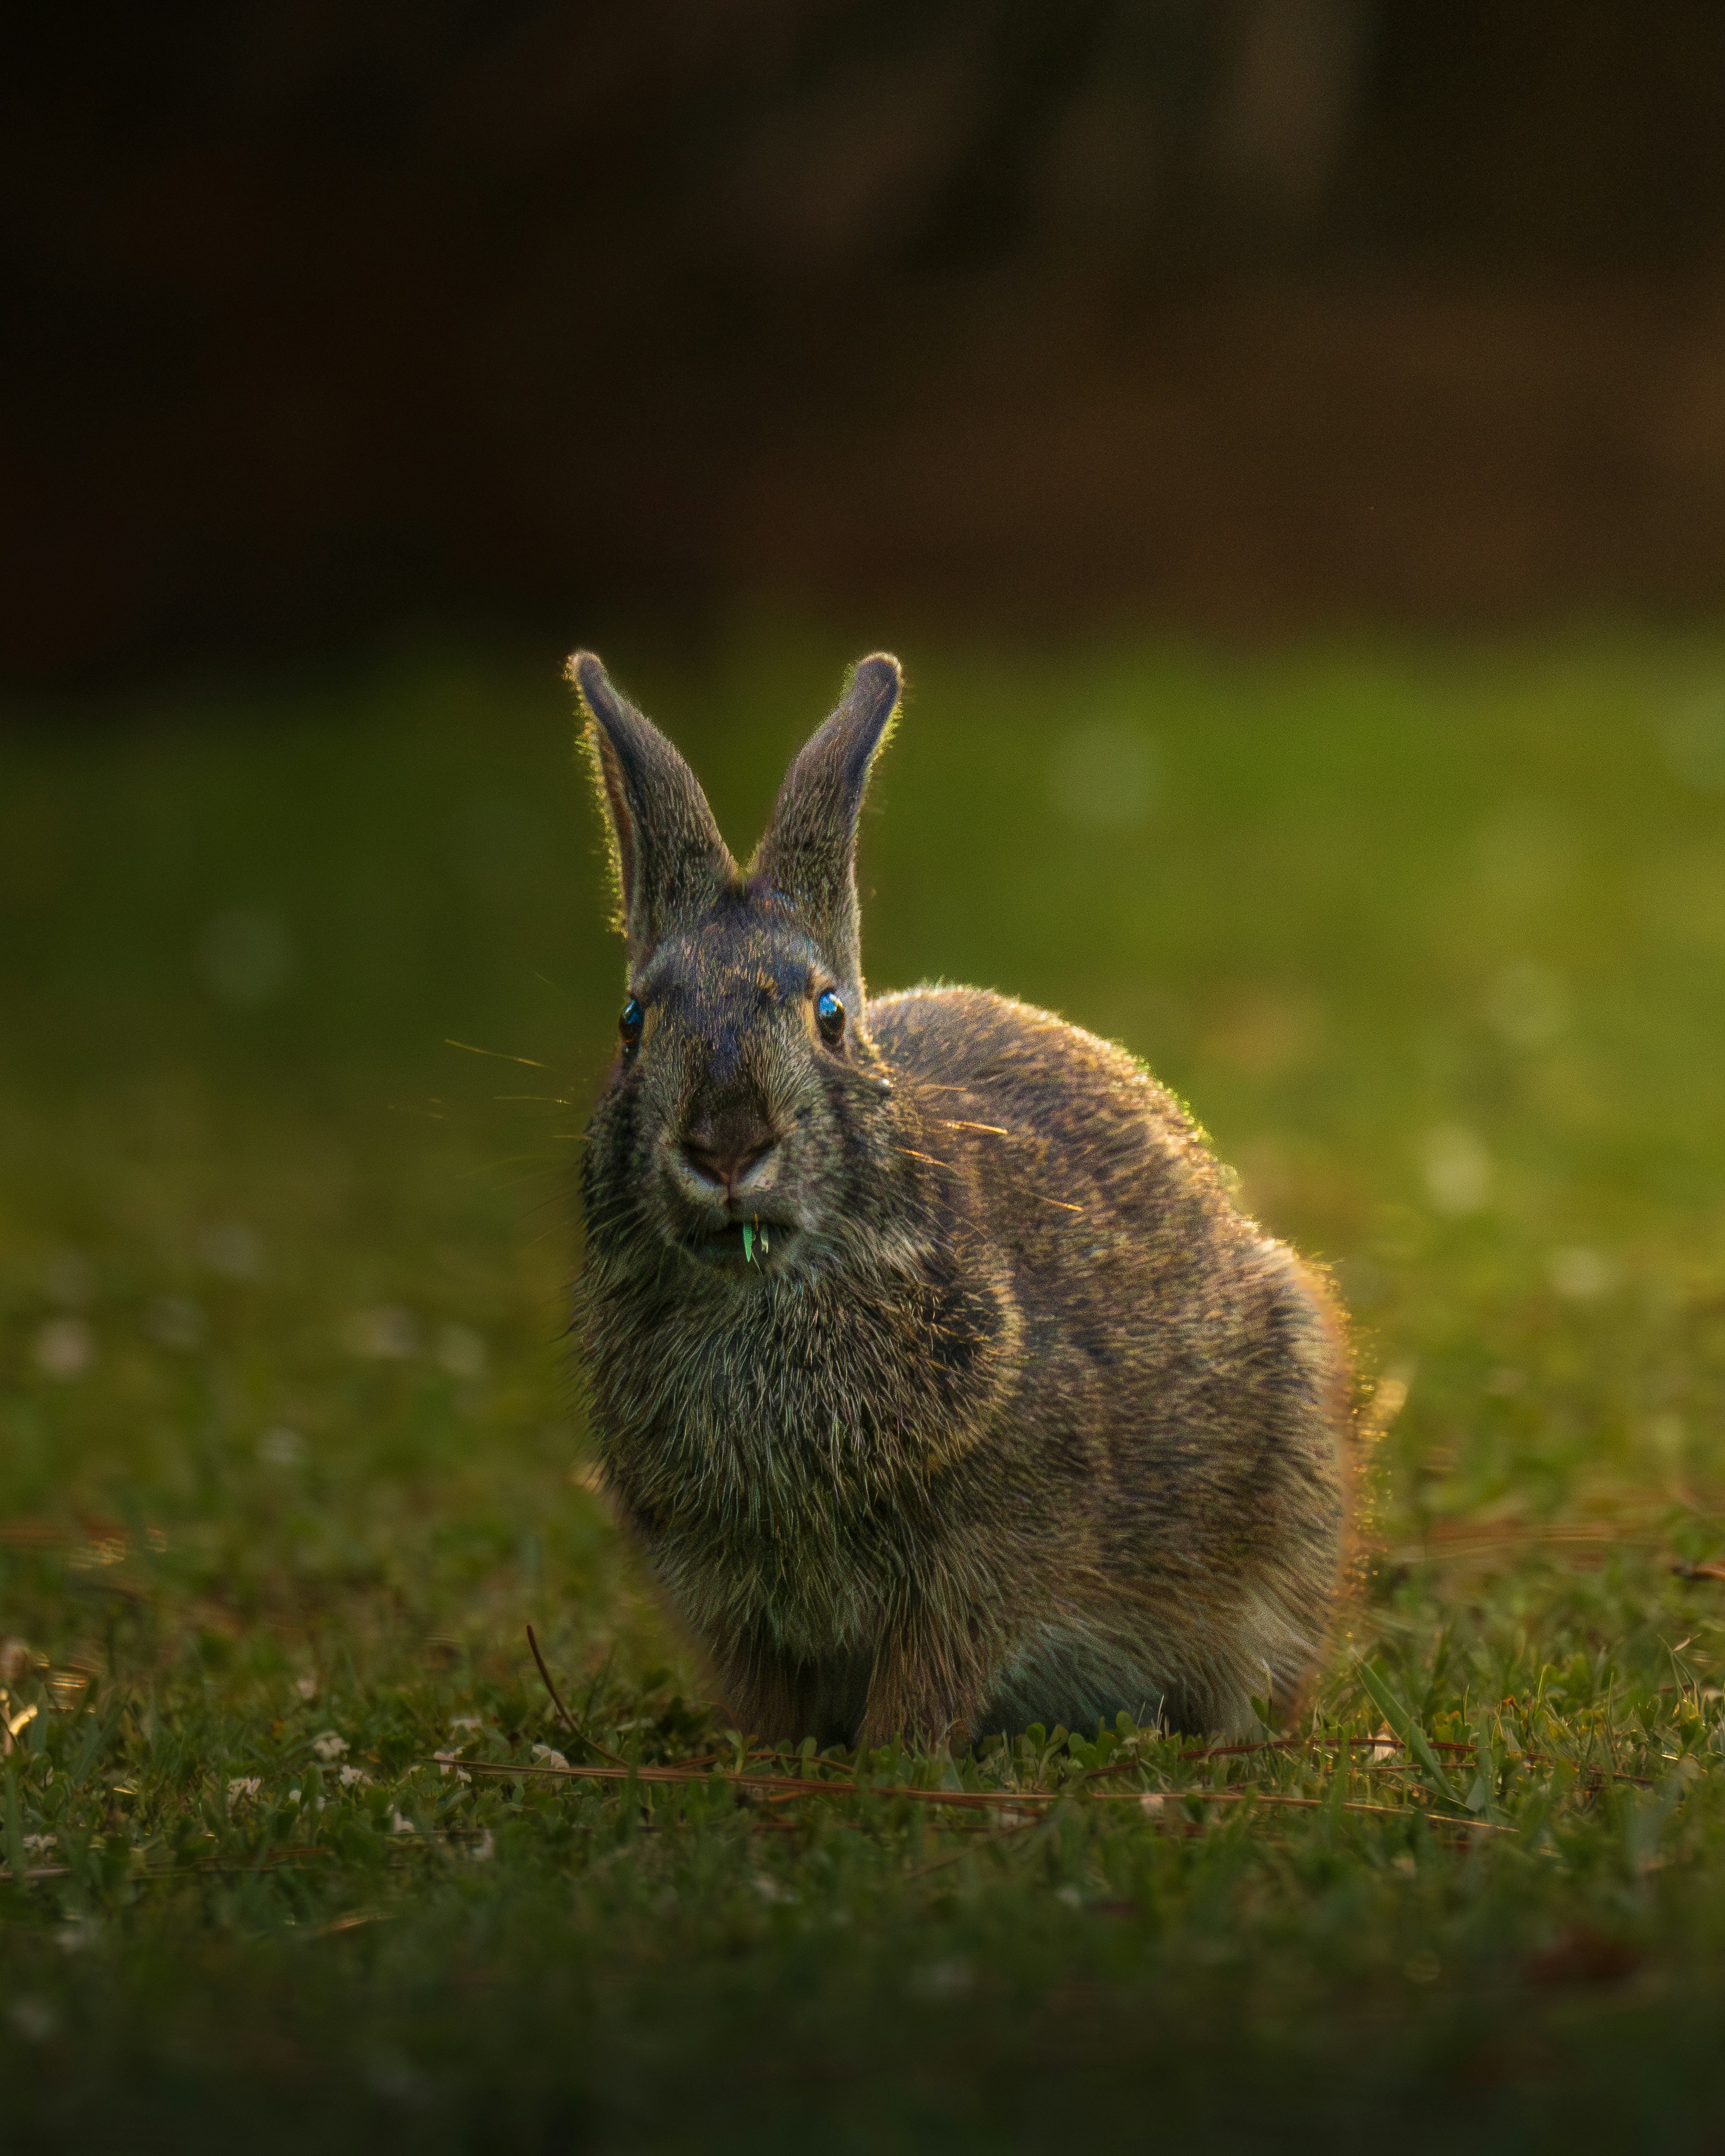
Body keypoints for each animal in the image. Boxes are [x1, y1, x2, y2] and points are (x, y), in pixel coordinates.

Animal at [571, 648, 1352, 1749]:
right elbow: (768, 1690)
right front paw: (767, 1755)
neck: (759, 1292)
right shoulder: (716, 1584)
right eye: (633, 1022)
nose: (727, 1146)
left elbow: (932, 1671)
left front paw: (890, 1757)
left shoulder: (986, 1557)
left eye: (828, 1015)